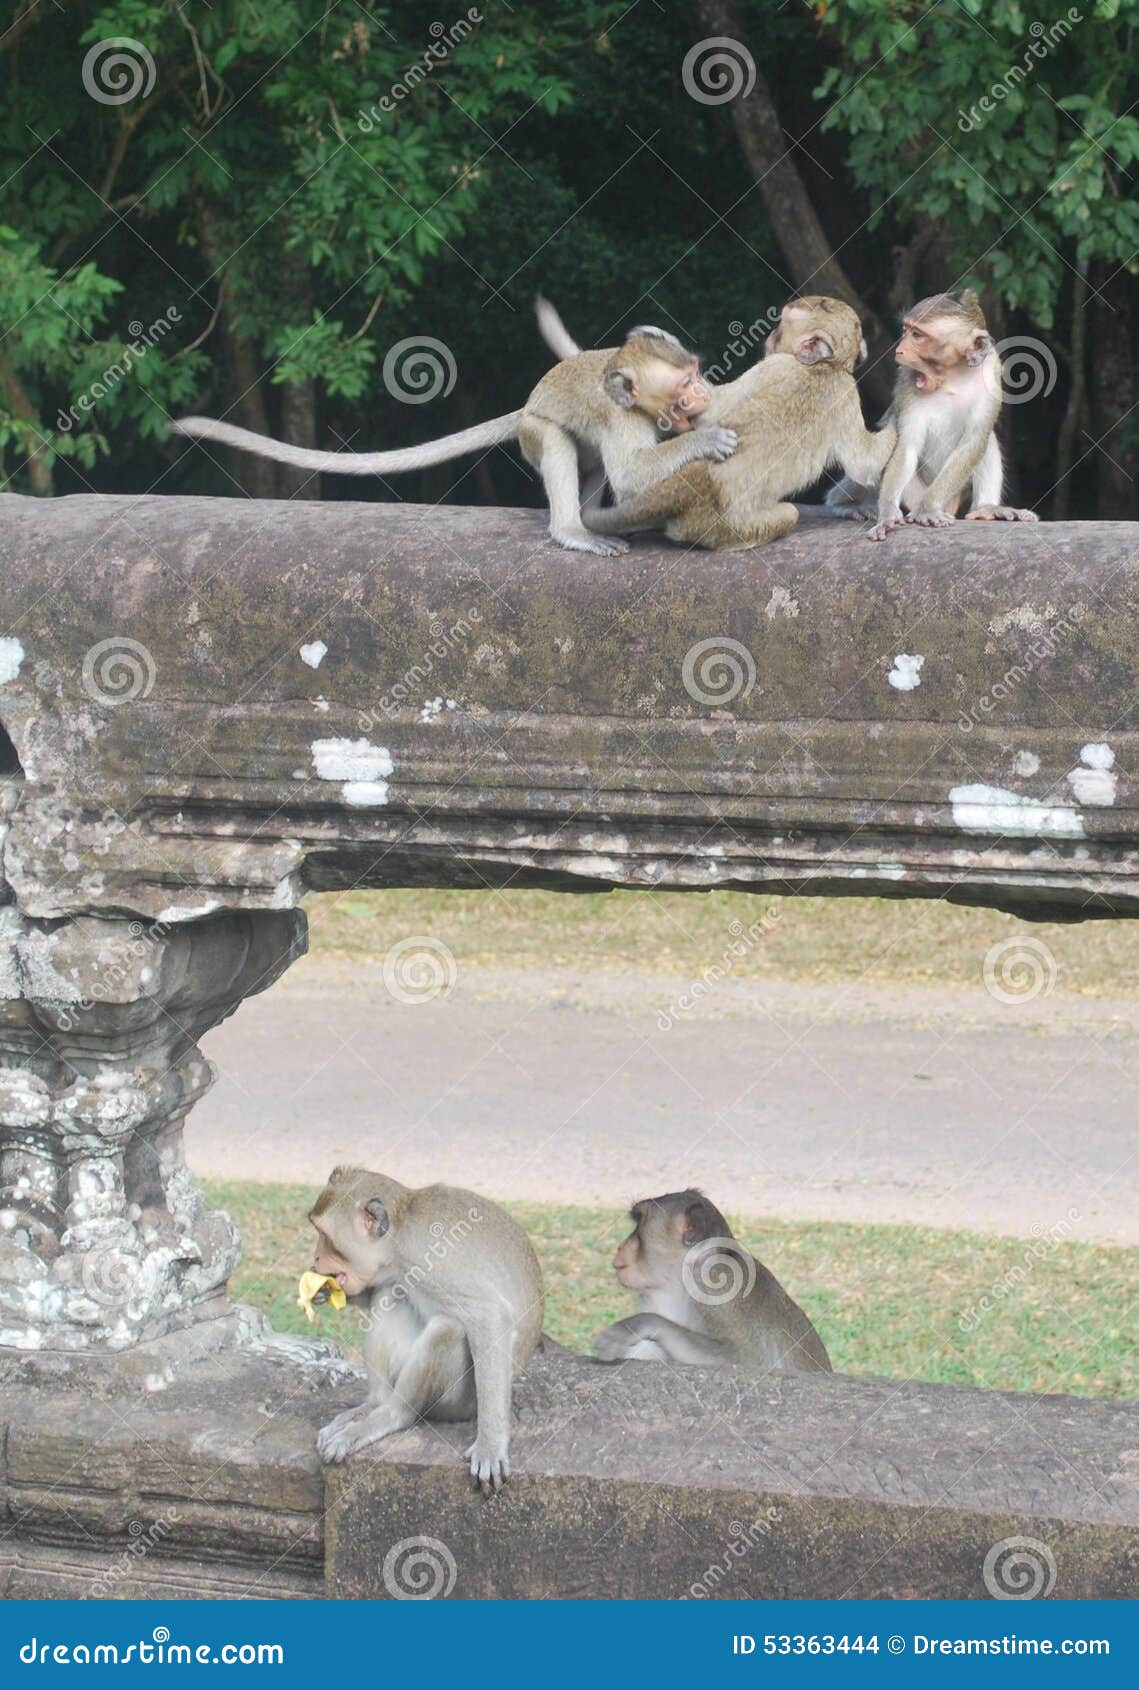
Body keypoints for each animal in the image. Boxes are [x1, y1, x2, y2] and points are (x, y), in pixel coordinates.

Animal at [171, 326, 738, 559]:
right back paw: (573, 530)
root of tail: (526, 406)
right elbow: (630, 473)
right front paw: (708, 437)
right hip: (535, 431)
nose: (703, 392)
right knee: (558, 444)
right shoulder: (624, 421)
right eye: (683, 389)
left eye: (695, 373)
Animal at [308, 1165, 543, 1492]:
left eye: (324, 1236)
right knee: (389, 1294)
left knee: (448, 1328)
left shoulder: (429, 1259)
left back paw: (391, 1415)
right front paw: (324, 1291)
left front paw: (490, 1446)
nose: (315, 1258)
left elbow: (489, 1316)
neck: (400, 1233)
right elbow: (376, 1290)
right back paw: (373, 1405)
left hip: (459, 1403)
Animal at [578, 297, 897, 551]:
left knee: (788, 514)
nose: (770, 335)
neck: (825, 367)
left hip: (727, 529)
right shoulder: (780, 366)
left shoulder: (801, 374)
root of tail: (698, 478)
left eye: (781, 327)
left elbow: (864, 464)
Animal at [594, 1190, 832, 1374]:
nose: (620, 1246)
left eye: (639, 1222)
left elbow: (748, 1359)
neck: (681, 1281)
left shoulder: (718, 1290)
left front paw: (643, 1323)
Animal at [825, 289, 1039, 540]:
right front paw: (887, 514)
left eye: (917, 335)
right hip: (913, 494)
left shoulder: (991, 369)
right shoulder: (907, 377)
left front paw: (928, 508)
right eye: (906, 330)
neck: (952, 376)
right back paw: (847, 505)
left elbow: (974, 442)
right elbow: (906, 445)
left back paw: (986, 508)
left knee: (987, 441)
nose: (899, 350)